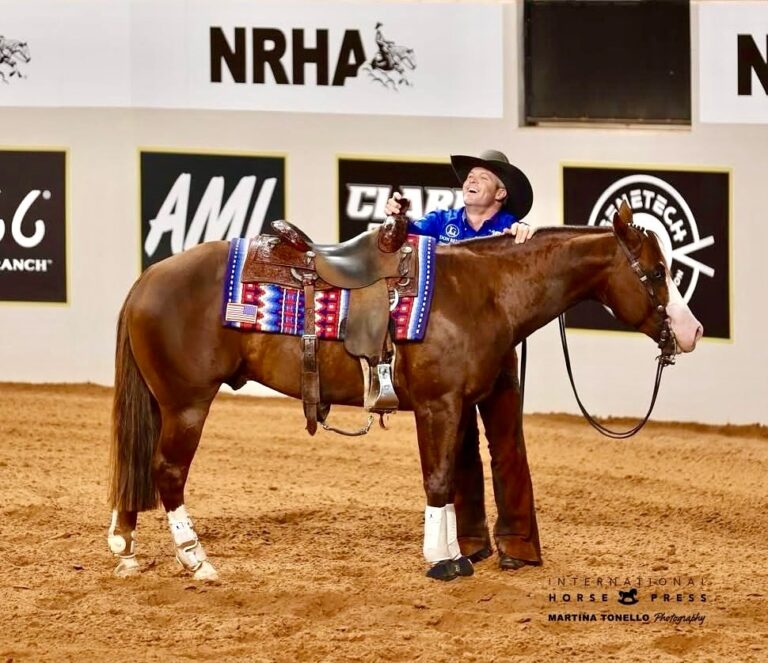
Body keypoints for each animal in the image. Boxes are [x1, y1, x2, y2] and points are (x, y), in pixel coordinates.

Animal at [107, 204, 702, 582]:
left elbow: (448, 480)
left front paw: (456, 554)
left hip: (163, 403)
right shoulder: (439, 405)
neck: (483, 290)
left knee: (137, 464)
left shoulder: (454, 406)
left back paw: (125, 548)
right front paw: (442, 561)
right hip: (187, 403)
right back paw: (196, 560)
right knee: (167, 472)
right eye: (657, 271)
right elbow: (438, 481)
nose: (692, 330)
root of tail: (145, 281)